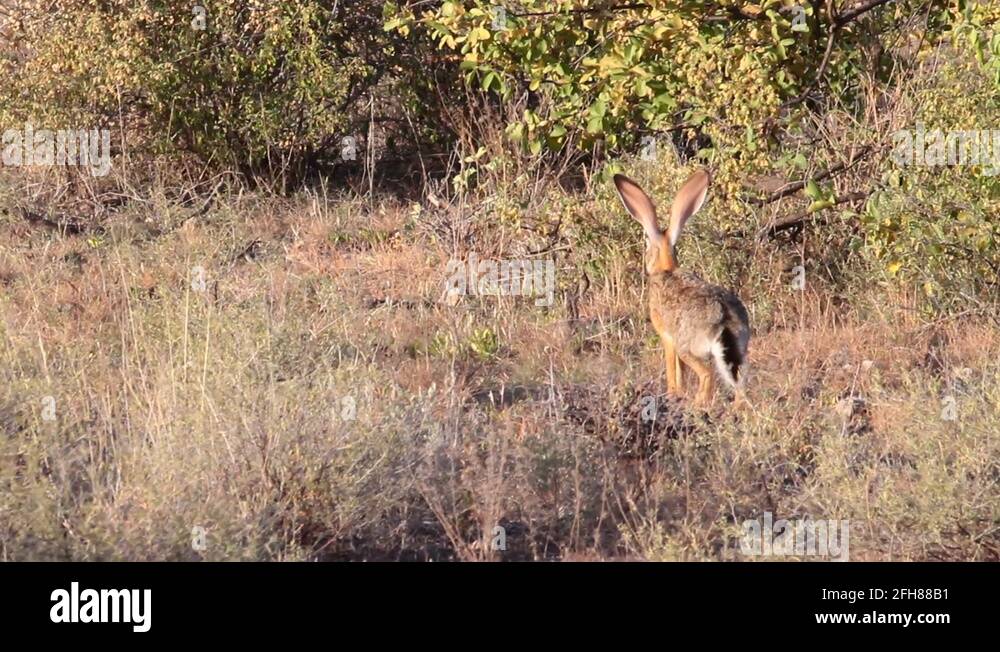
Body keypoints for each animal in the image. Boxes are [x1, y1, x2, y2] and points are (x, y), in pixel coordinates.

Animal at [613, 169, 750, 407]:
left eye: (648, 244)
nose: (646, 260)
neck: (667, 268)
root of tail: (725, 319)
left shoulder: (667, 337)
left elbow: (672, 367)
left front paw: (672, 393)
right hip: (738, 353)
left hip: (688, 347)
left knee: (707, 374)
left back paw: (697, 405)